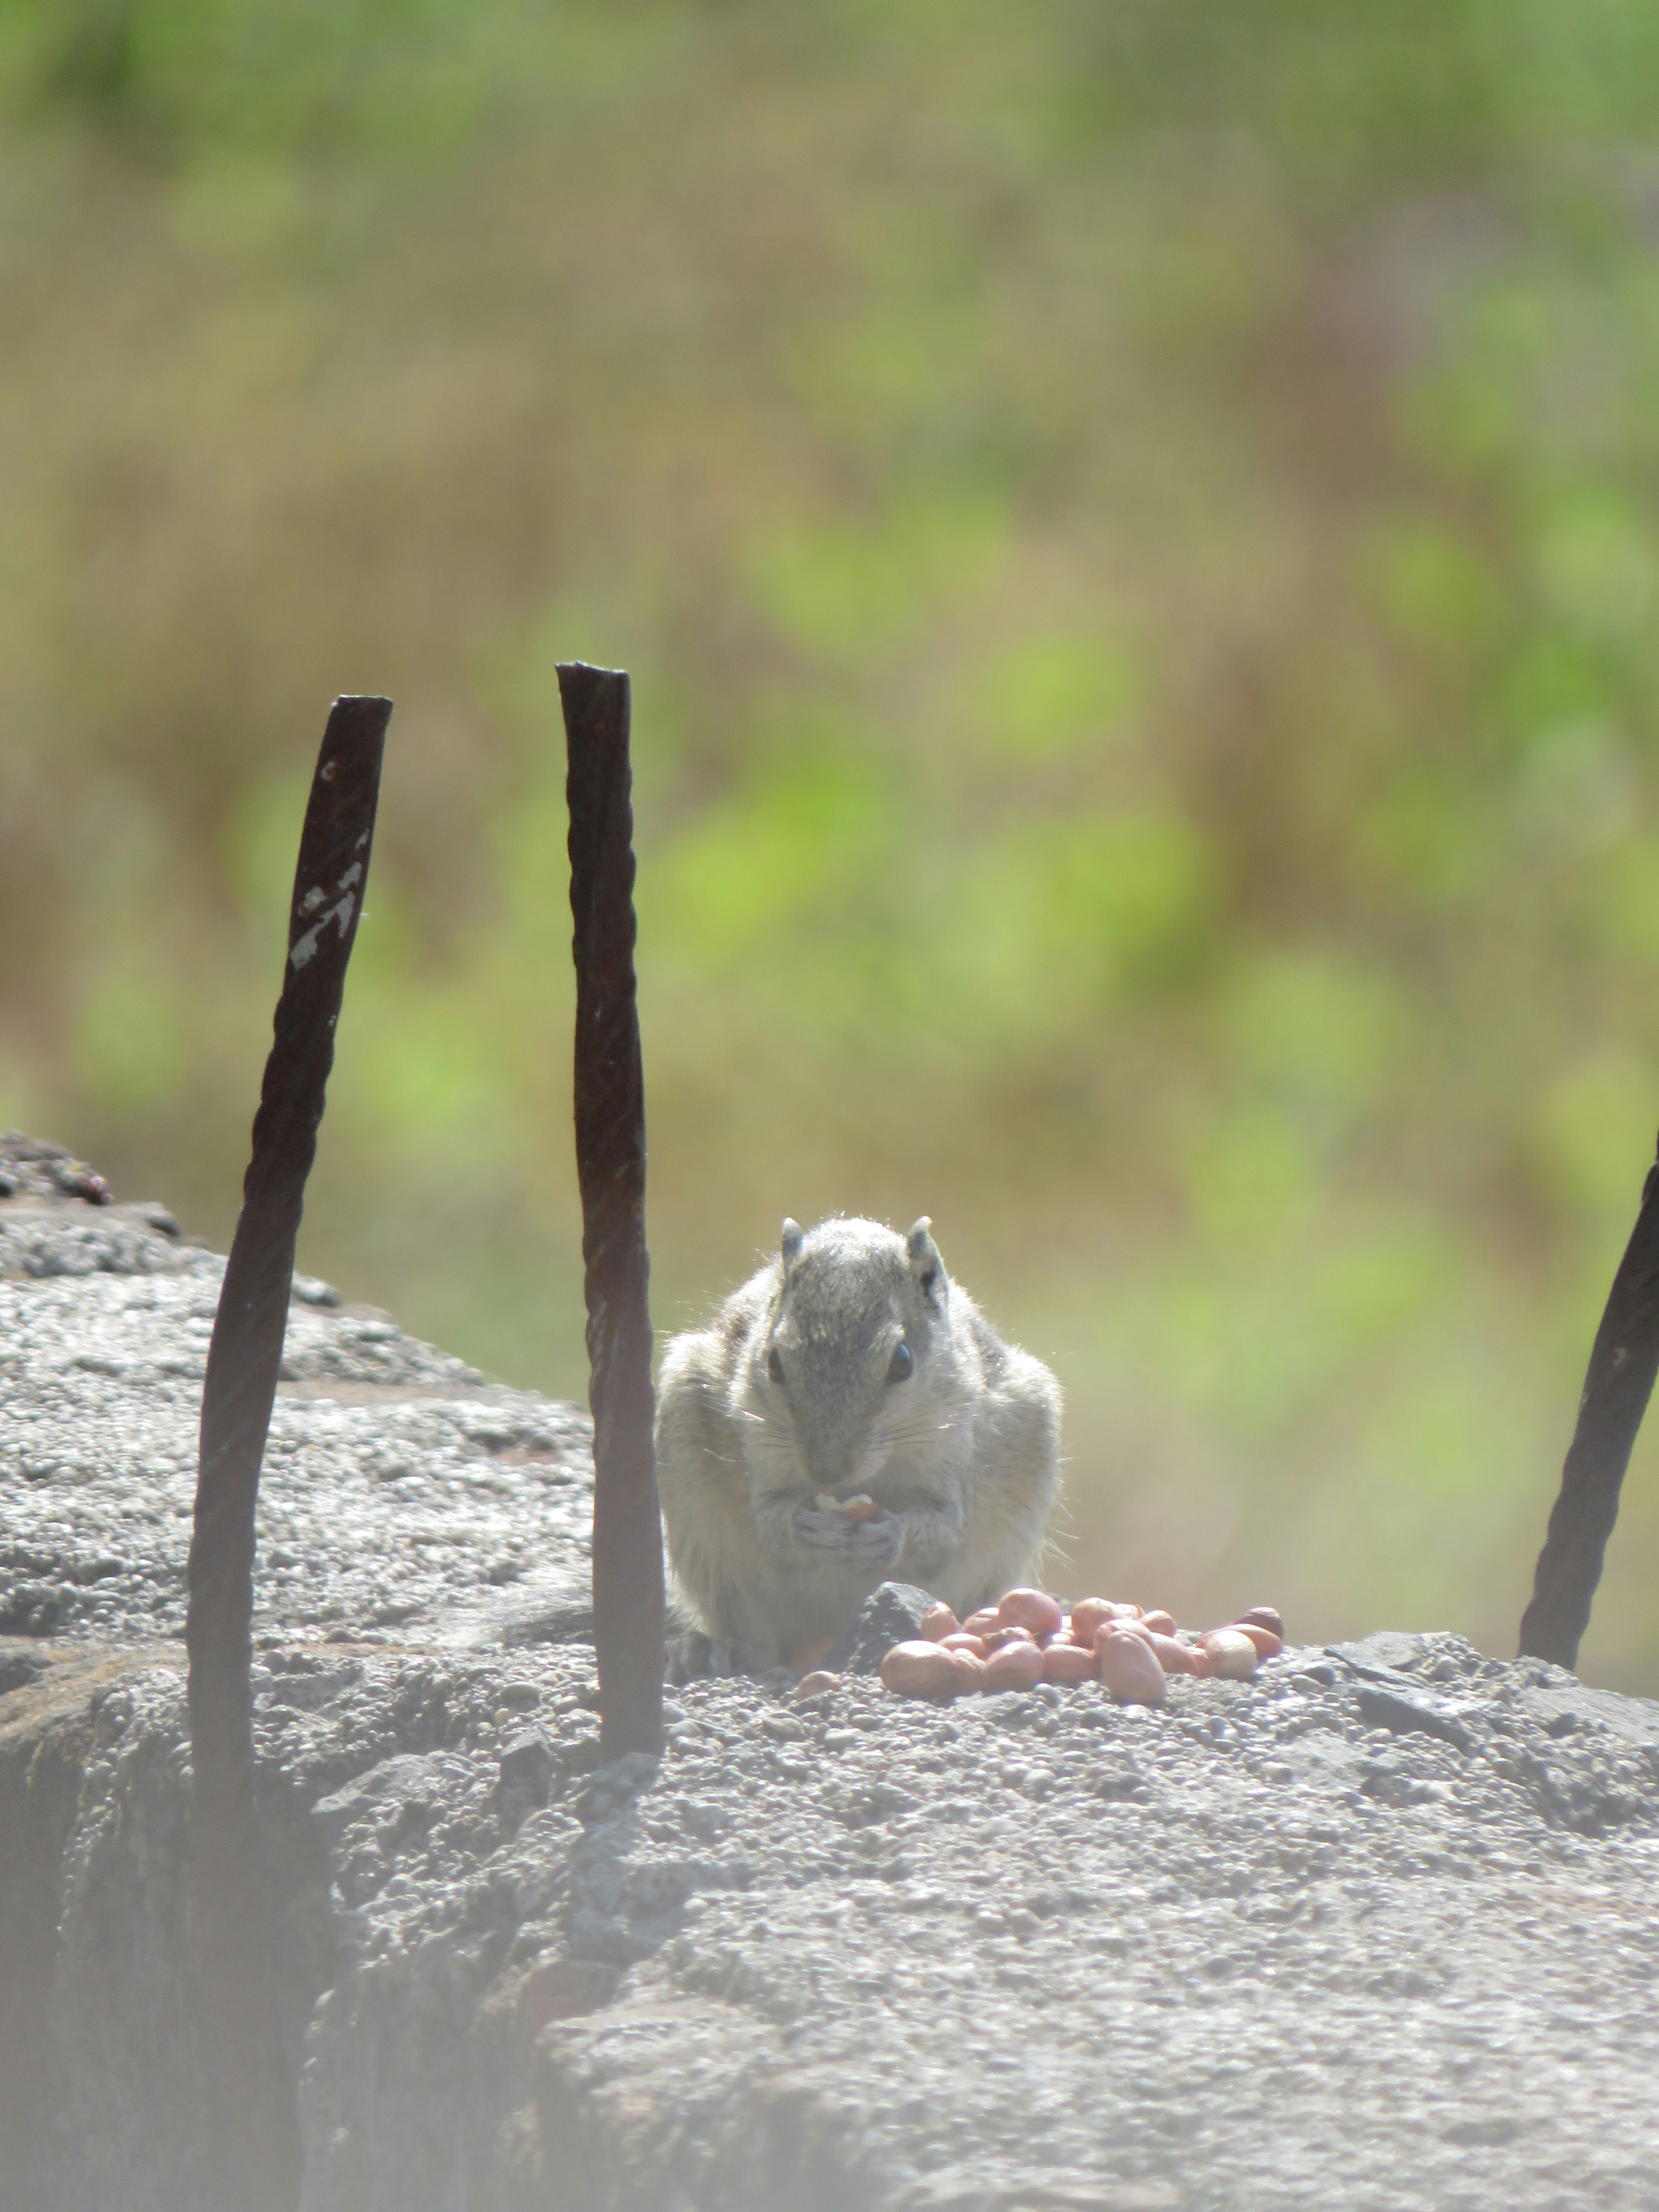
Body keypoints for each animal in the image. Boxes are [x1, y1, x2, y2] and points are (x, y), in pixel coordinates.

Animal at [655, 1214, 1061, 1667]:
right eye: (773, 1362)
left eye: (902, 1361)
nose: (827, 1470)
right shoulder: (760, 1451)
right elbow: (770, 1524)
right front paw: (806, 1527)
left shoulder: (954, 1454)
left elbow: (944, 1532)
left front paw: (889, 1535)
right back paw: (717, 1649)